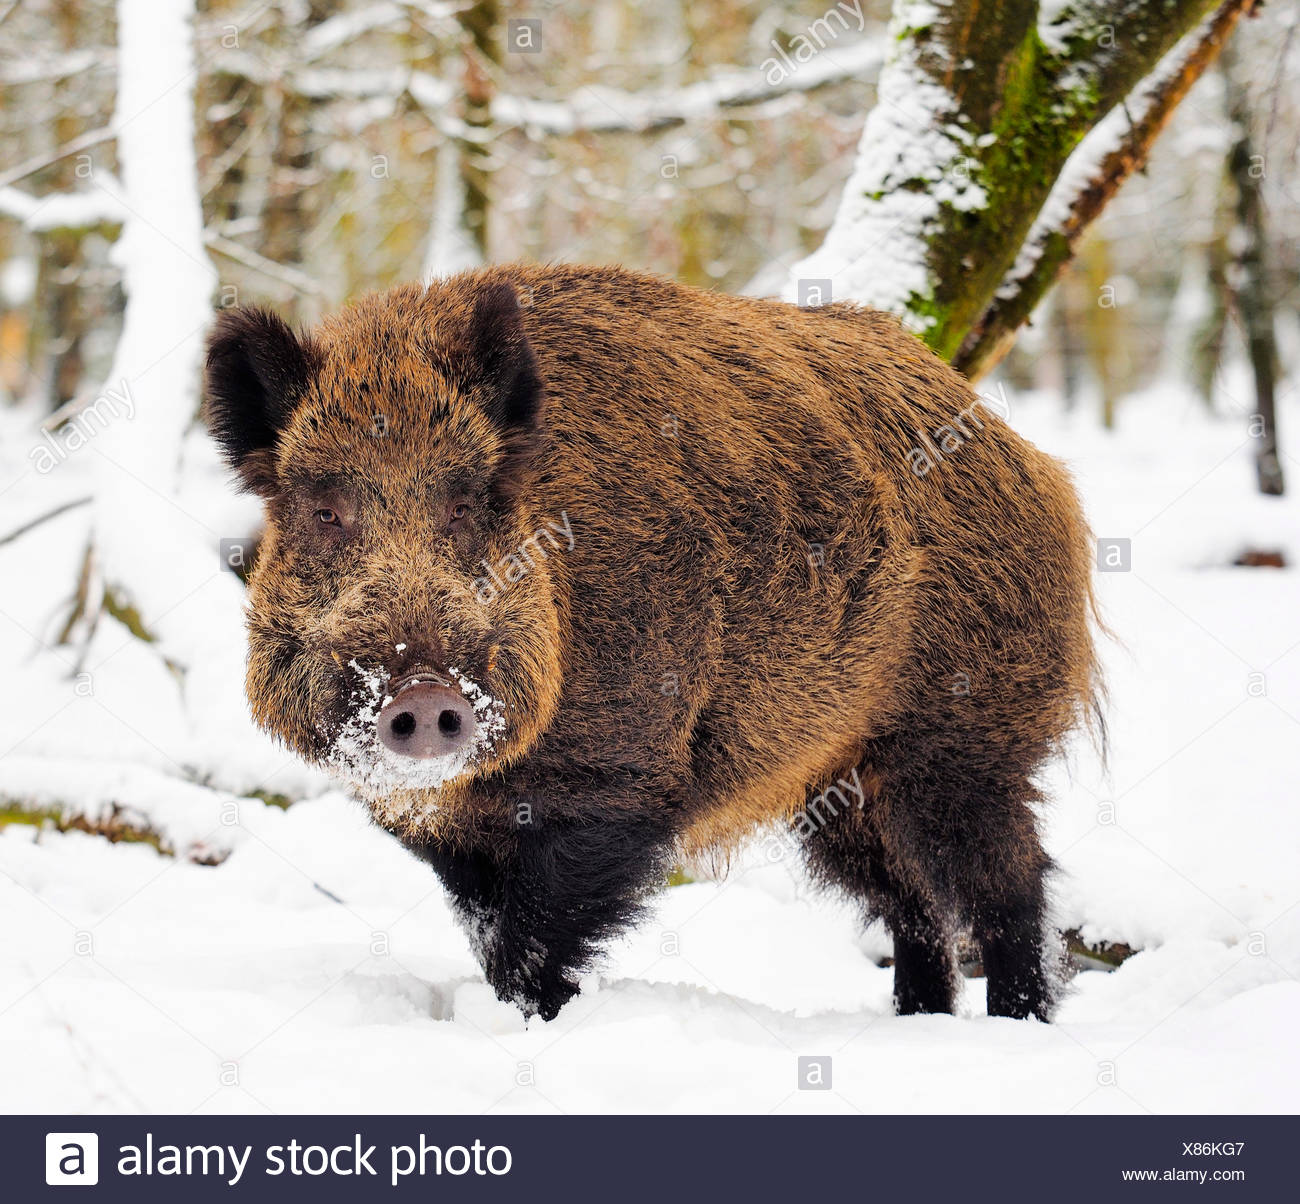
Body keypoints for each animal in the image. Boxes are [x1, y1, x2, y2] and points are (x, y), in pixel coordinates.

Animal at [204, 263, 1100, 1021]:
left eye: (467, 504)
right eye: (324, 511)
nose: (423, 696)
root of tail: (1035, 465)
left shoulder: (615, 779)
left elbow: (539, 939)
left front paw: (540, 1024)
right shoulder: (453, 835)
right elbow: (494, 935)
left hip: (968, 736)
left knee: (1008, 884)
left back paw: (1017, 1023)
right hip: (837, 782)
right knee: (908, 903)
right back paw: (918, 1022)